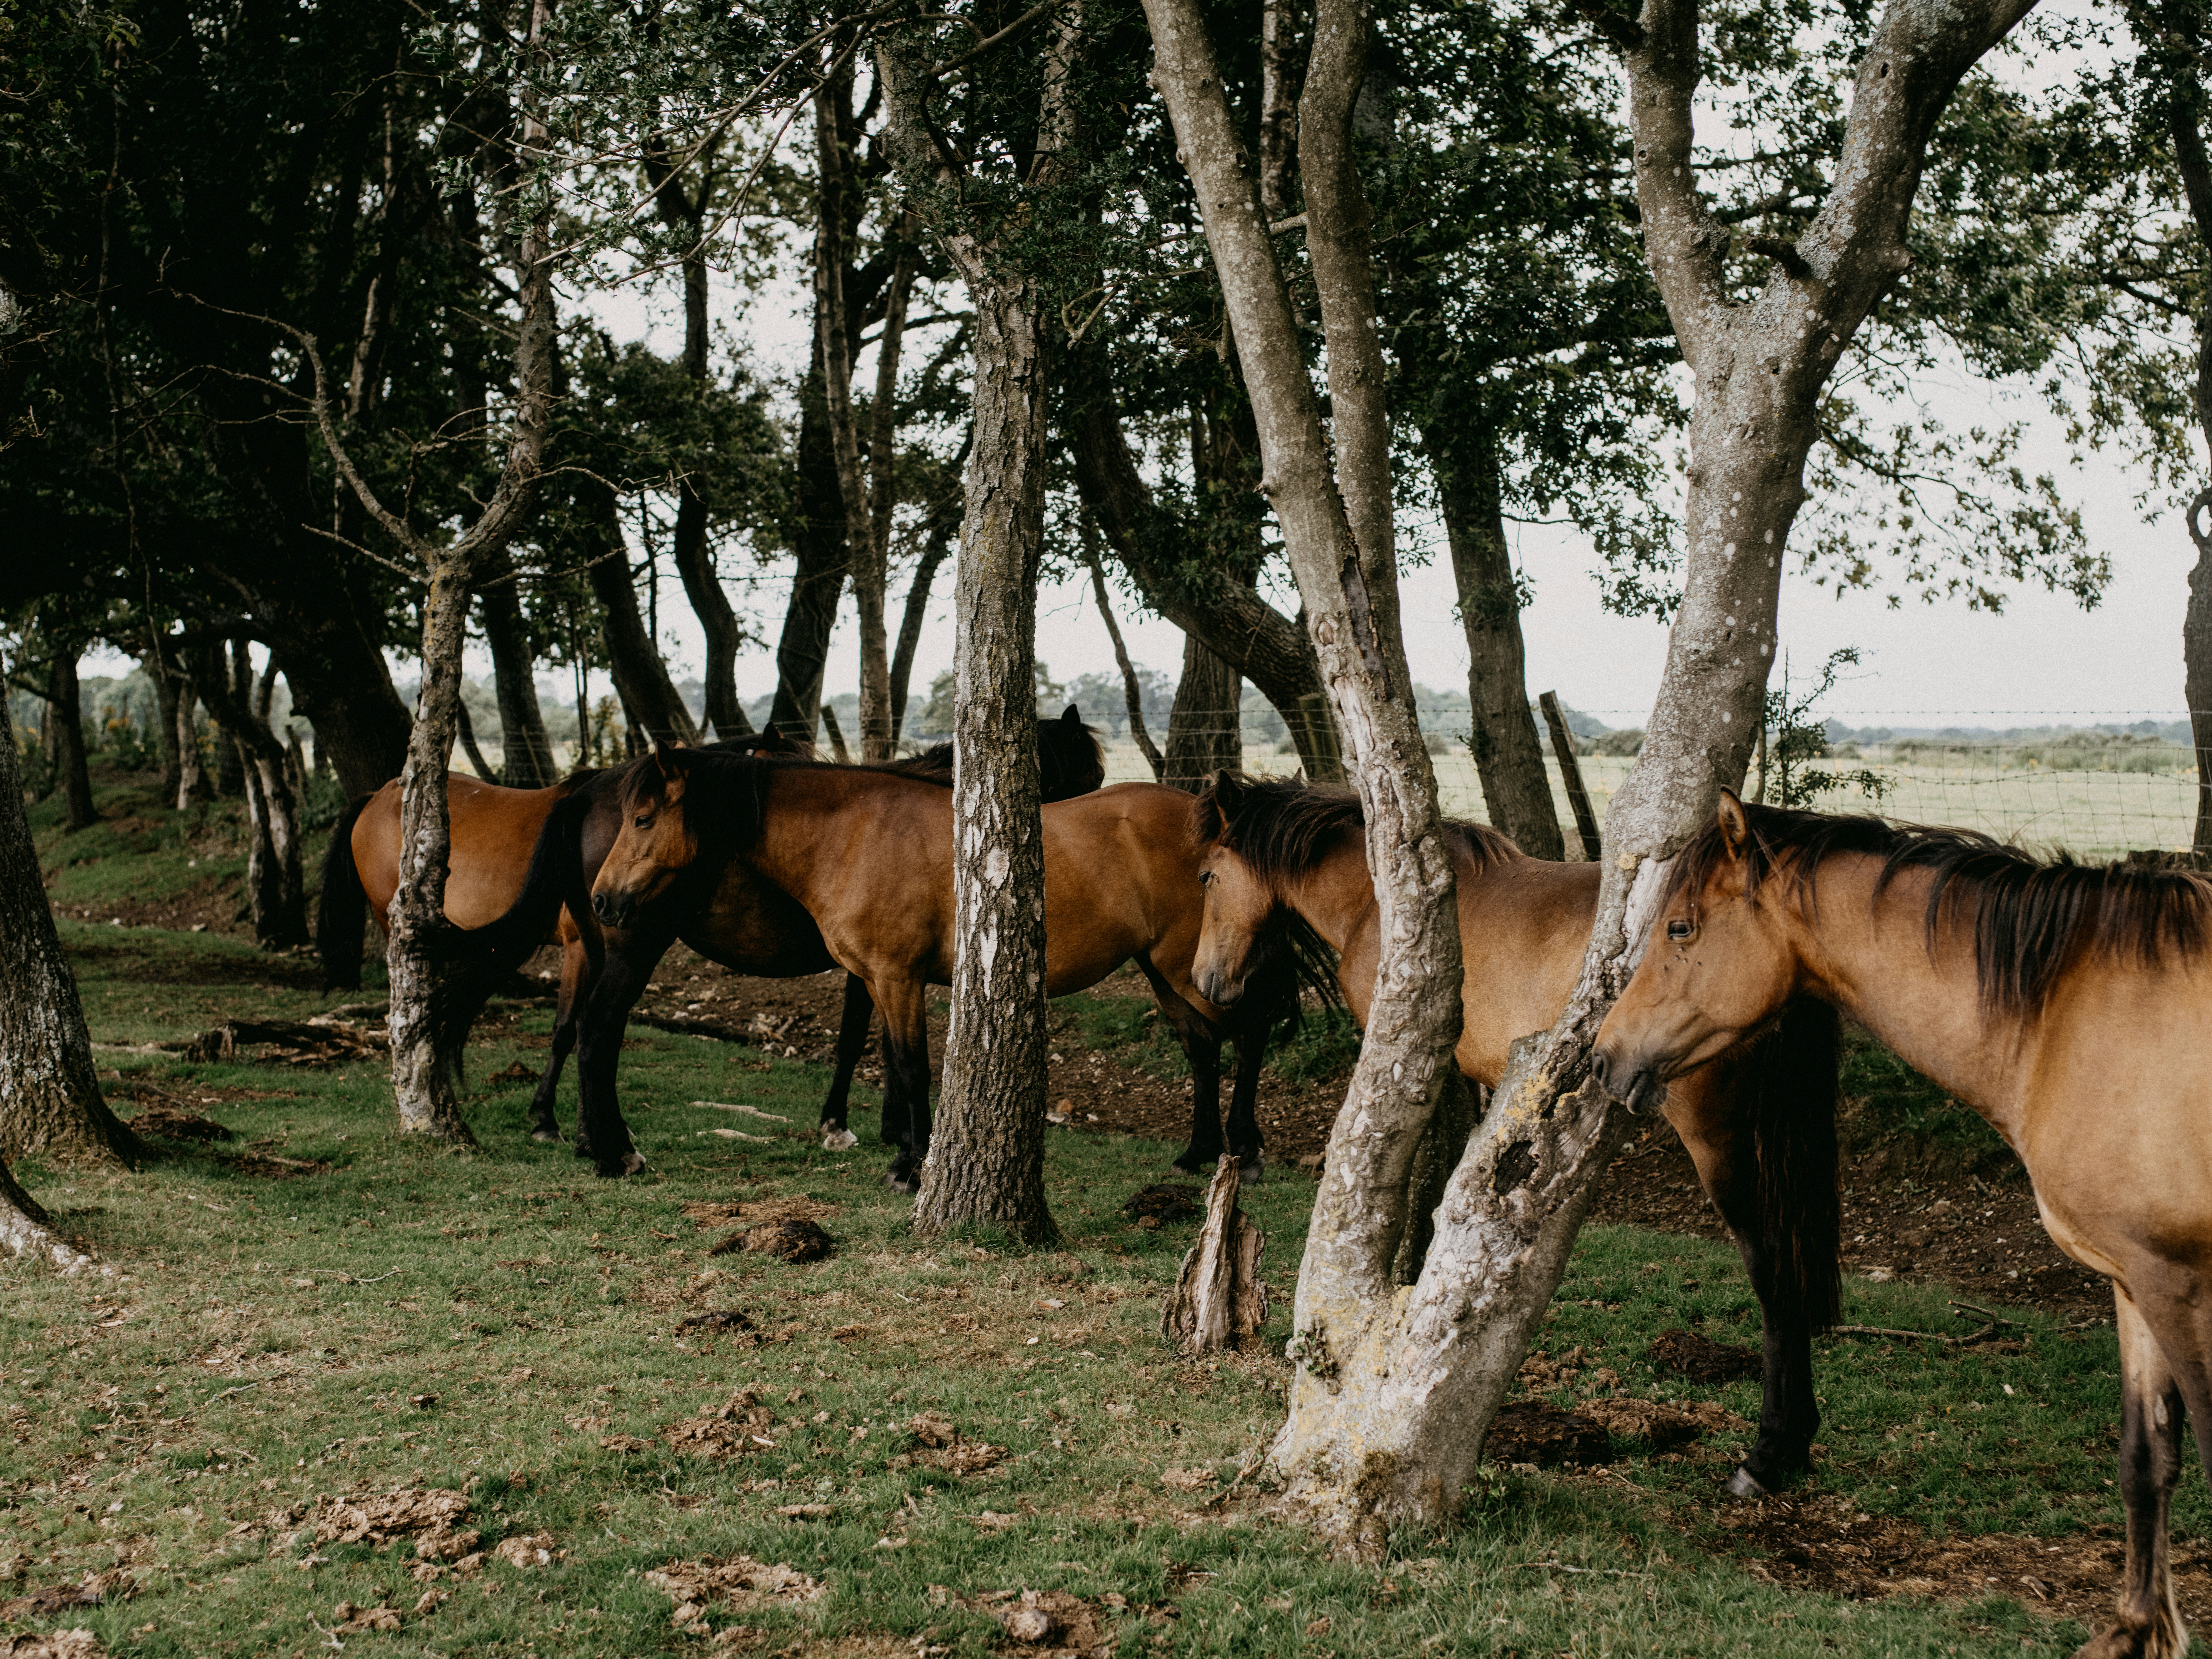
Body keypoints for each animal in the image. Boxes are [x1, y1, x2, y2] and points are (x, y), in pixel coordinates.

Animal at [320, 709, 1107, 1147]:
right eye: (1089, 777)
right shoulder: (875, 964)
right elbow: (865, 1040)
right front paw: (860, 1126)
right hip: (615, 942)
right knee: (587, 1028)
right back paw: (600, 1142)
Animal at [580, 748, 1316, 1189]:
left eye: (642, 818)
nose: (603, 899)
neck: (852, 833)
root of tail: (1218, 826)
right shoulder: (879, 981)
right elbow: (891, 1059)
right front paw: (907, 1150)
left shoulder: (896, 977)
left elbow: (910, 1067)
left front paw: (911, 1165)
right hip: (1164, 971)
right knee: (1202, 1048)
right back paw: (1197, 1152)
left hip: (1193, 967)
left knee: (1247, 1036)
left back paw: (1243, 1151)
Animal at [1187, 771, 1842, 1500]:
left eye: (1208, 875)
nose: (1204, 980)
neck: (1377, 899)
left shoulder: (1423, 1060)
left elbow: (1423, 1169)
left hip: (1717, 1137)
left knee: (1772, 1266)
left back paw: (1770, 1452)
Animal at [1592, 792, 2212, 1659]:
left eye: (1679, 927)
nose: (1602, 1056)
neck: (2070, 1015)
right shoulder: (2134, 1281)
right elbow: (2145, 1459)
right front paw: (2130, 1629)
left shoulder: (2179, 1285)